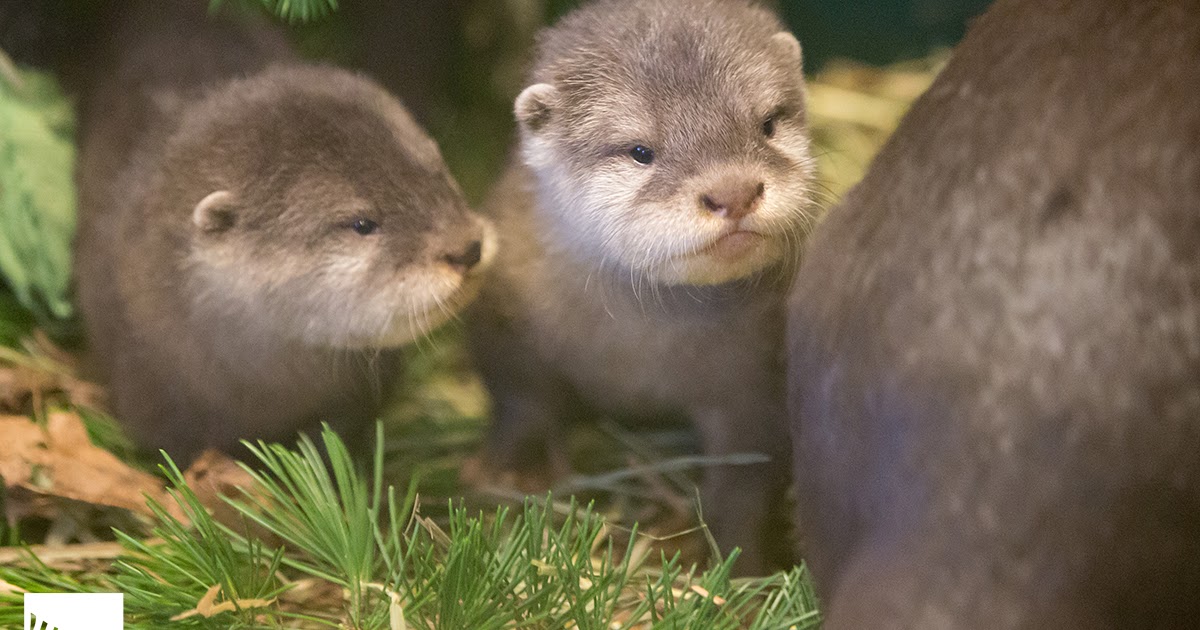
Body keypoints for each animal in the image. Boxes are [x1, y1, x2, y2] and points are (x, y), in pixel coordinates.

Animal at [467, 0, 815, 574]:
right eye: (640, 150)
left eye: (767, 123)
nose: (734, 191)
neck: (638, 353)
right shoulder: (505, 308)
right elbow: (522, 397)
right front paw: (514, 470)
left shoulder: (757, 379)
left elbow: (747, 476)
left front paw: (741, 562)